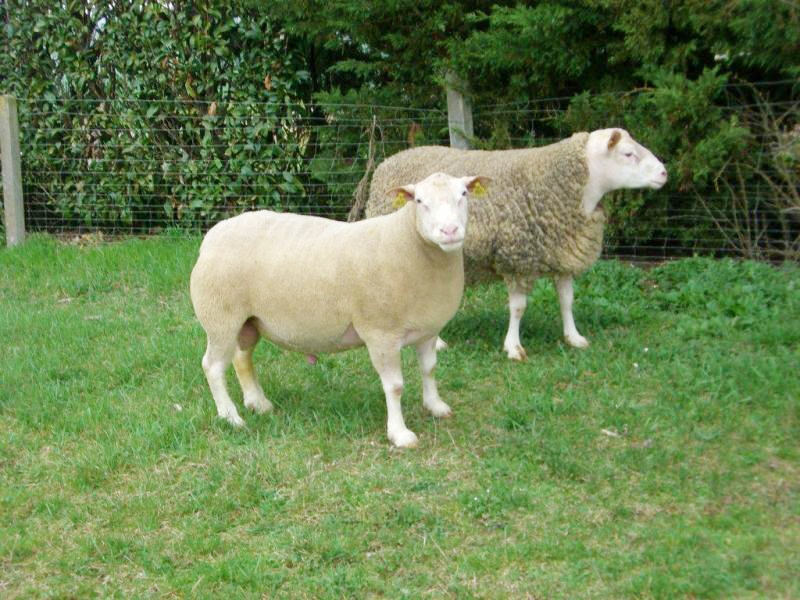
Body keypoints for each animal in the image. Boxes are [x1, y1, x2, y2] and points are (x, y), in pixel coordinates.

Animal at [190, 172, 489, 447]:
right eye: (419, 201)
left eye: (463, 194)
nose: (449, 231)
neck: (408, 240)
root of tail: (212, 235)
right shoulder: (381, 333)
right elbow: (394, 386)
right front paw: (400, 434)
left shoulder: (428, 330)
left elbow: (429, 369)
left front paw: (436, 406)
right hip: (220, 318)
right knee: (212, 366)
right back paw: (231, 417)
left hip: (248, 320)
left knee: (242, 358)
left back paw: (258, 403)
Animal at [365, 128, 667, 360]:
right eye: (628, 154)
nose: (664, 173)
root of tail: (386, 163)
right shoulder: (516, 258)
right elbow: (518, 308)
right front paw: (513, 347)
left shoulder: (561, 254)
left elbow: (567, 300)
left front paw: (574, 337)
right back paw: (434, 341)